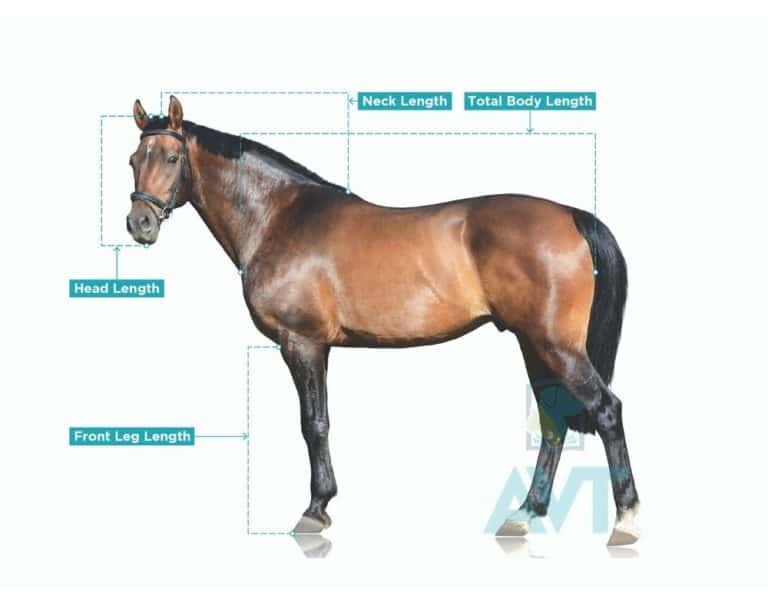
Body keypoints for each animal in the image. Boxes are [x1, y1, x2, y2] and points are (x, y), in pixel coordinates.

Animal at [126, 95, 640, 546]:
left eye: (172, 156)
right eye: (133, 159)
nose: (139, 224)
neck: (279, 217)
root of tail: (571, 216)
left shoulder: (302, 343)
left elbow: (314, 423)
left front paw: (316, 509)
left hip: (556, 345)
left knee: (606, 410)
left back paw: (625, 521)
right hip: (534, 344)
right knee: (554, 422)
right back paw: (525, 514)